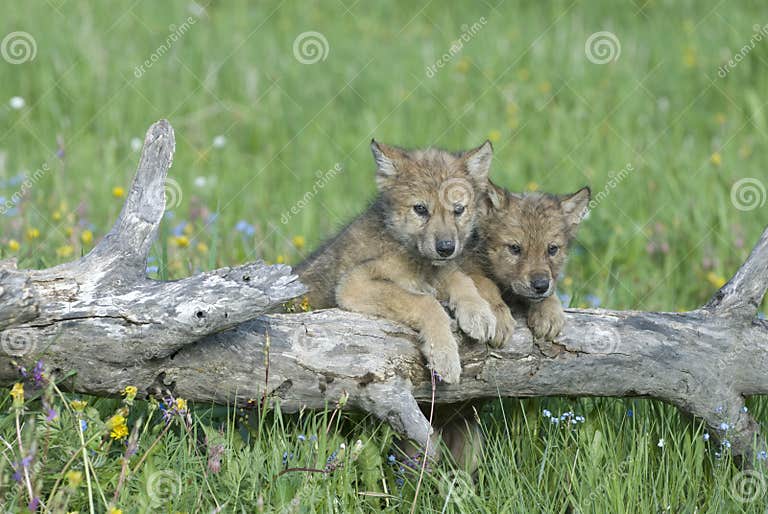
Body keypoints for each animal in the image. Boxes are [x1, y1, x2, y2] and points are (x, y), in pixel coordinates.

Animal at [296, 140, 503, 383]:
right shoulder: (353, 285)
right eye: (420, 209)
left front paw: (478, 312)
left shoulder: (437, 271)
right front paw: (444, 356)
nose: (446, 248)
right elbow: (426, 302)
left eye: (458, 210)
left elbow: (460, 278)